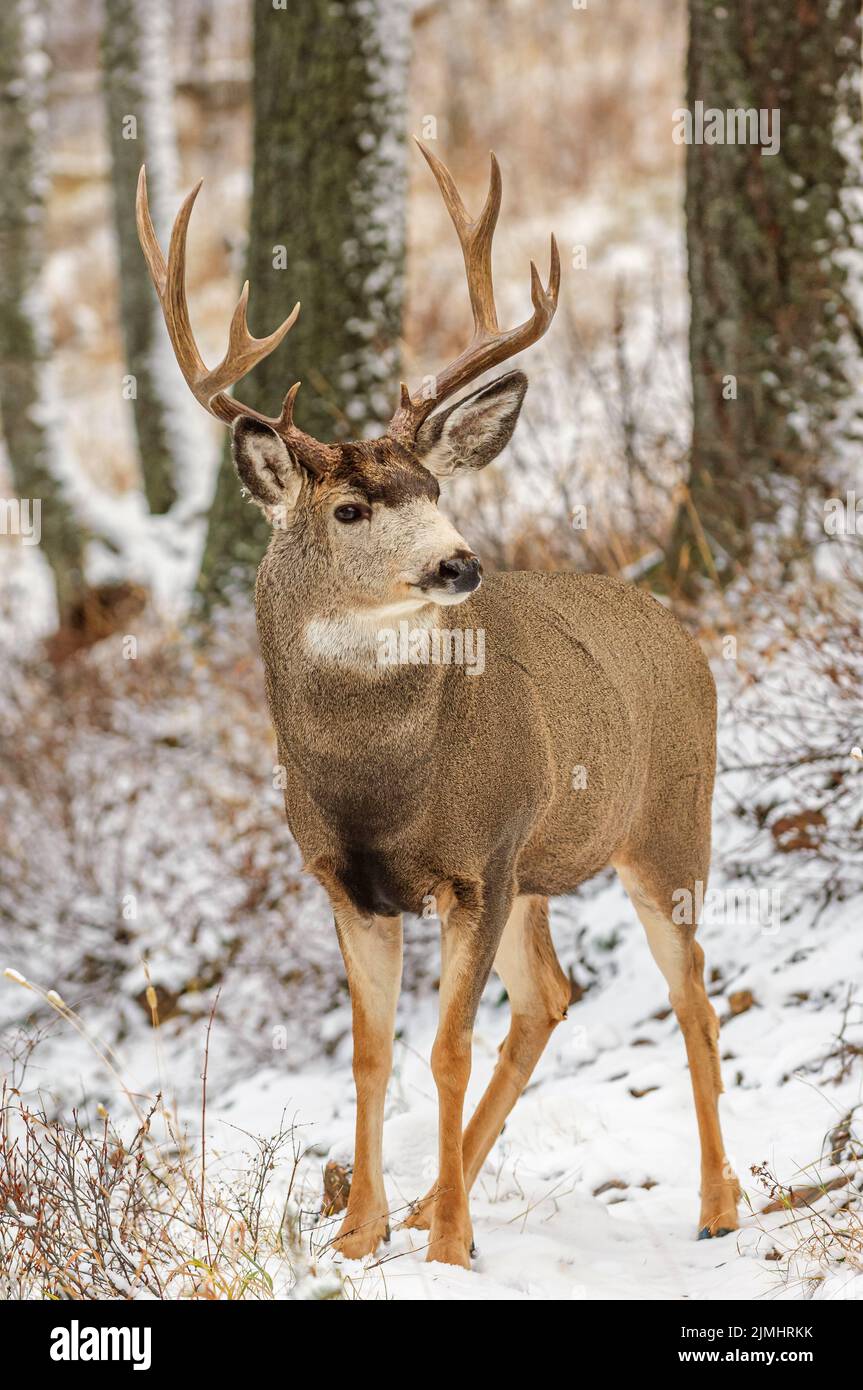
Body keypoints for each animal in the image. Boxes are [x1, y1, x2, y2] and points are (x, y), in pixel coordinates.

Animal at [136, 142, 741, 1270]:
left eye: (433, 489)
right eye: (350, 508)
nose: (459, 561)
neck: (377, 781)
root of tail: (680, 629)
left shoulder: (478, 859)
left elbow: (444, 1048)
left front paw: (452, 1247)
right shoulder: (343, 880)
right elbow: (372, 1053)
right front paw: (359, 1231)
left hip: (665, 828)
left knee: (691, 998)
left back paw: (717, 1204)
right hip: (543, 868)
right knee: (551, 996)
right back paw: (426, 1198)